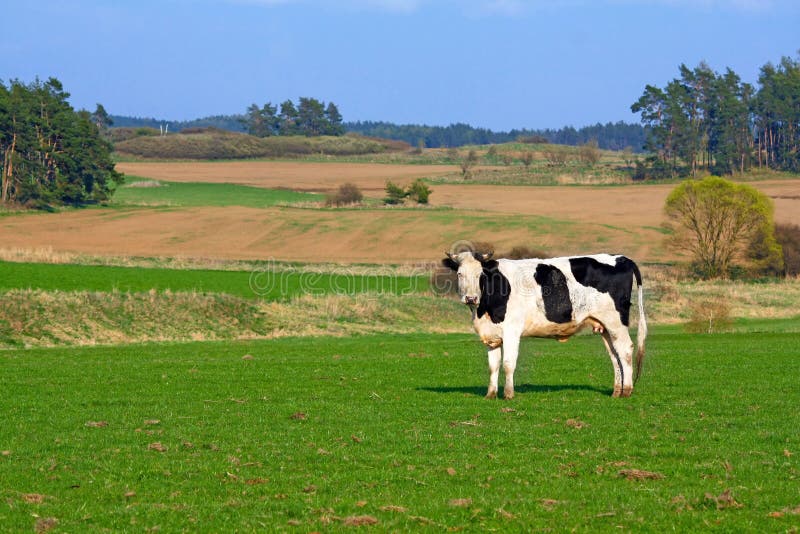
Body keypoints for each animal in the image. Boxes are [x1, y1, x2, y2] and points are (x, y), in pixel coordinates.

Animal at [442, 250, 647, 399]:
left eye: (480, 275)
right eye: (459, 274)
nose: (470, 298)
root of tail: (621, 257)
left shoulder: (511, 331)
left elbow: (508, 363)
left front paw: (508, 395)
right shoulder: (492, 335)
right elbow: (493, 366)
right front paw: (490, 395)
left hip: (616, 322)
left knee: (625, 350)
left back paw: (627, 391)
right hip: (604, 326)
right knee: (614, 354)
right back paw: (616, 392)